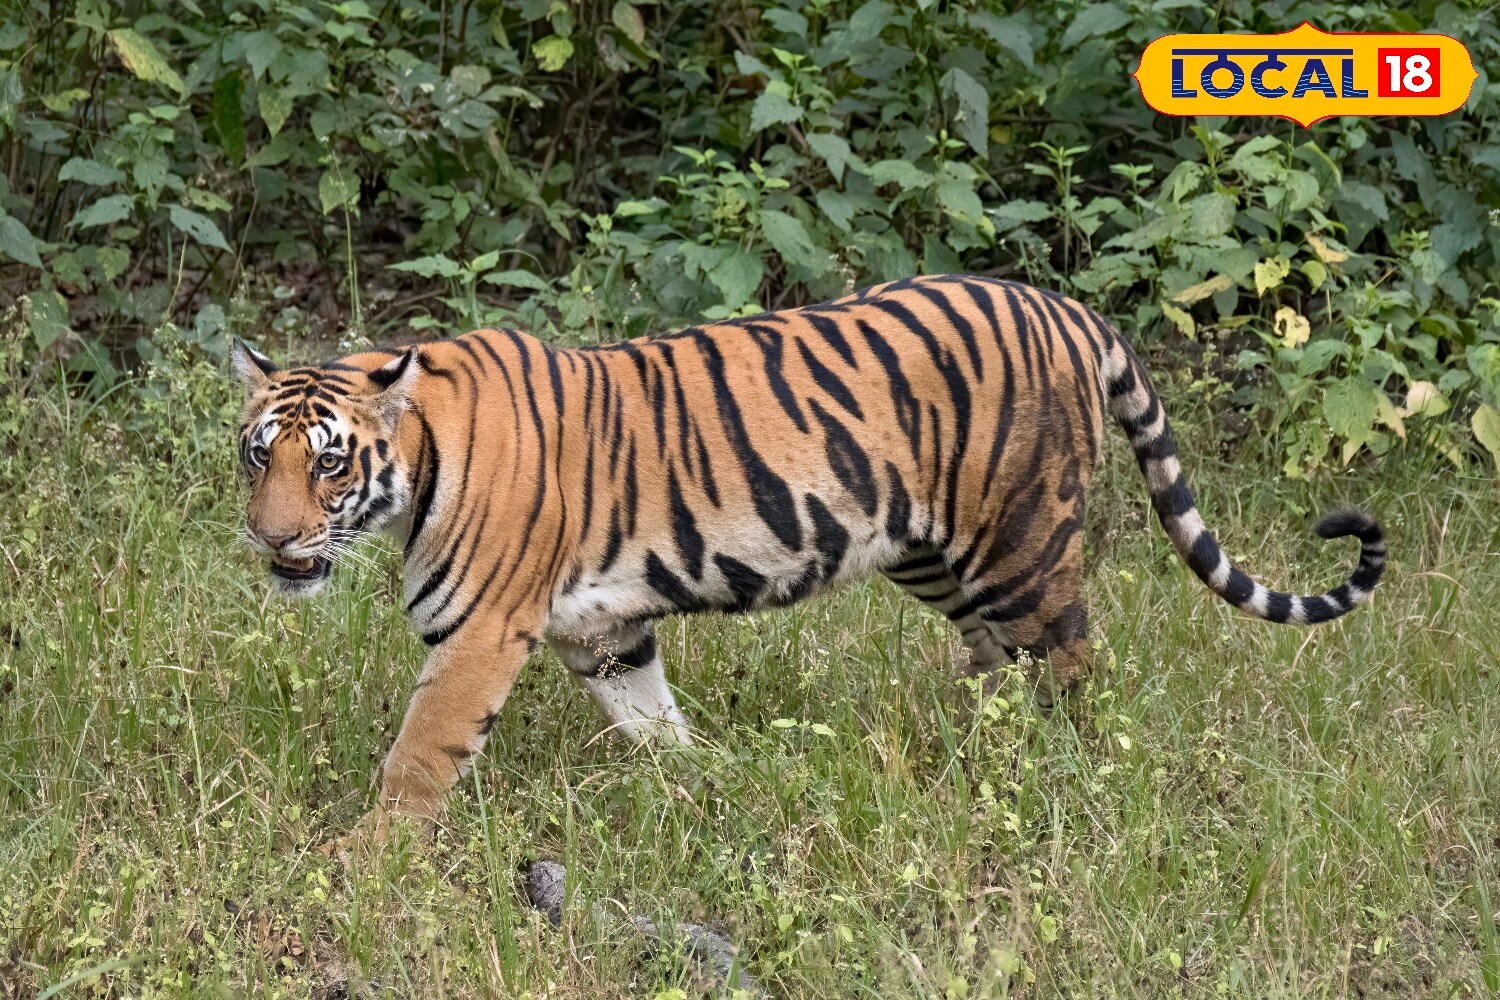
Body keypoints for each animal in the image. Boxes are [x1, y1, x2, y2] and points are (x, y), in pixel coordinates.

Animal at [230, 274, 1385, 835]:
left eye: (329, 463)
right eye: (256, 454)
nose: (273, 538)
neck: (416, 468)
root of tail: (1067, 308)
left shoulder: (478, 635)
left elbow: (419, 756)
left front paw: (368, 860)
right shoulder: (605, 632)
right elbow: (654, 721)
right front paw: (708, 784)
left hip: (1023, 543)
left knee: (1071, 667)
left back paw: (1065, 777)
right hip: (932, 552)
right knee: (994, 661)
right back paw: (968, 752)